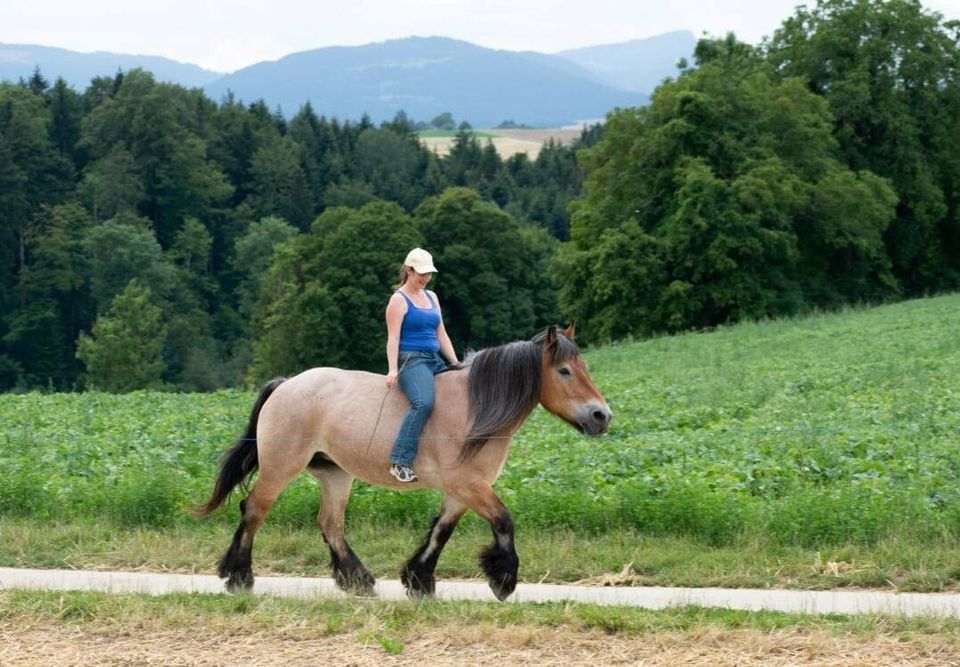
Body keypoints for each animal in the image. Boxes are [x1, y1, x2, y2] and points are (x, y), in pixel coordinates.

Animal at [196, 324, 612, 601]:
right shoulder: (469, 486)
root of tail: (286, 385)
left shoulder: (461, 490)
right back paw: (238, 577)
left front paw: (419, 580)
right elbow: (503, 522)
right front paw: (503, 579)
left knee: (330, 524)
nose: (601, 416)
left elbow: (441, 532)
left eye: (586, 367)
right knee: (254, 510)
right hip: (281, 467)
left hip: (336, 475)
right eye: (564, 371)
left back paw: (358, 581)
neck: (475, 409)